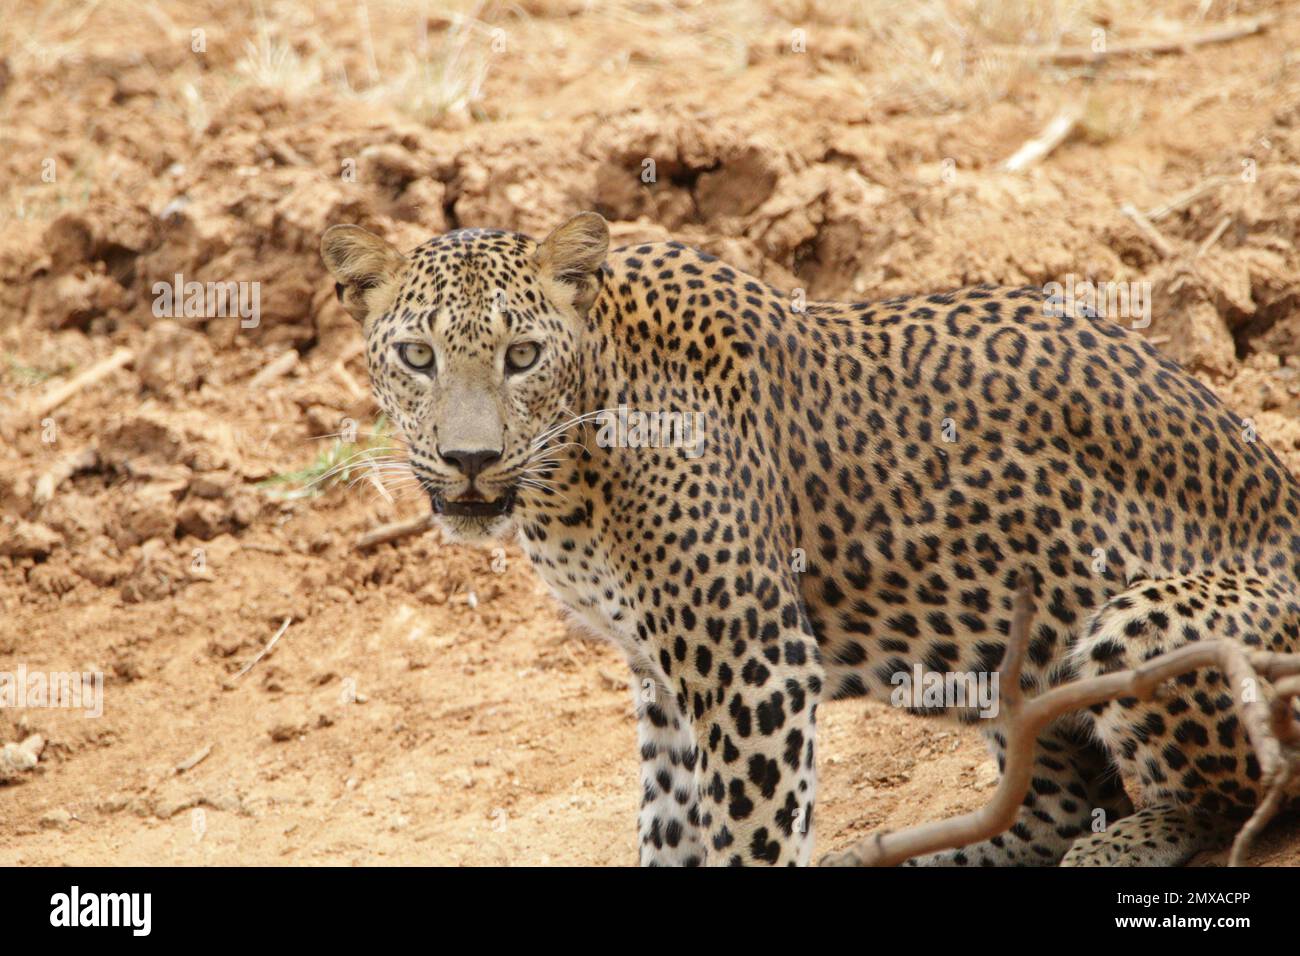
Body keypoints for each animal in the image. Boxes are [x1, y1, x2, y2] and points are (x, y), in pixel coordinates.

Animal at [321, 211, 1300, 867]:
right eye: (416, 357)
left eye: (521, 355)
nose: (471, 460)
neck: (574, 470)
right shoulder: (662, 675)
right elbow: (669, 825)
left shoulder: (754, 667)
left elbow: (746, 838)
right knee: (1054, 805)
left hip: (1135, 623)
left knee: (1239, 798)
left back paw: (1117, 845)